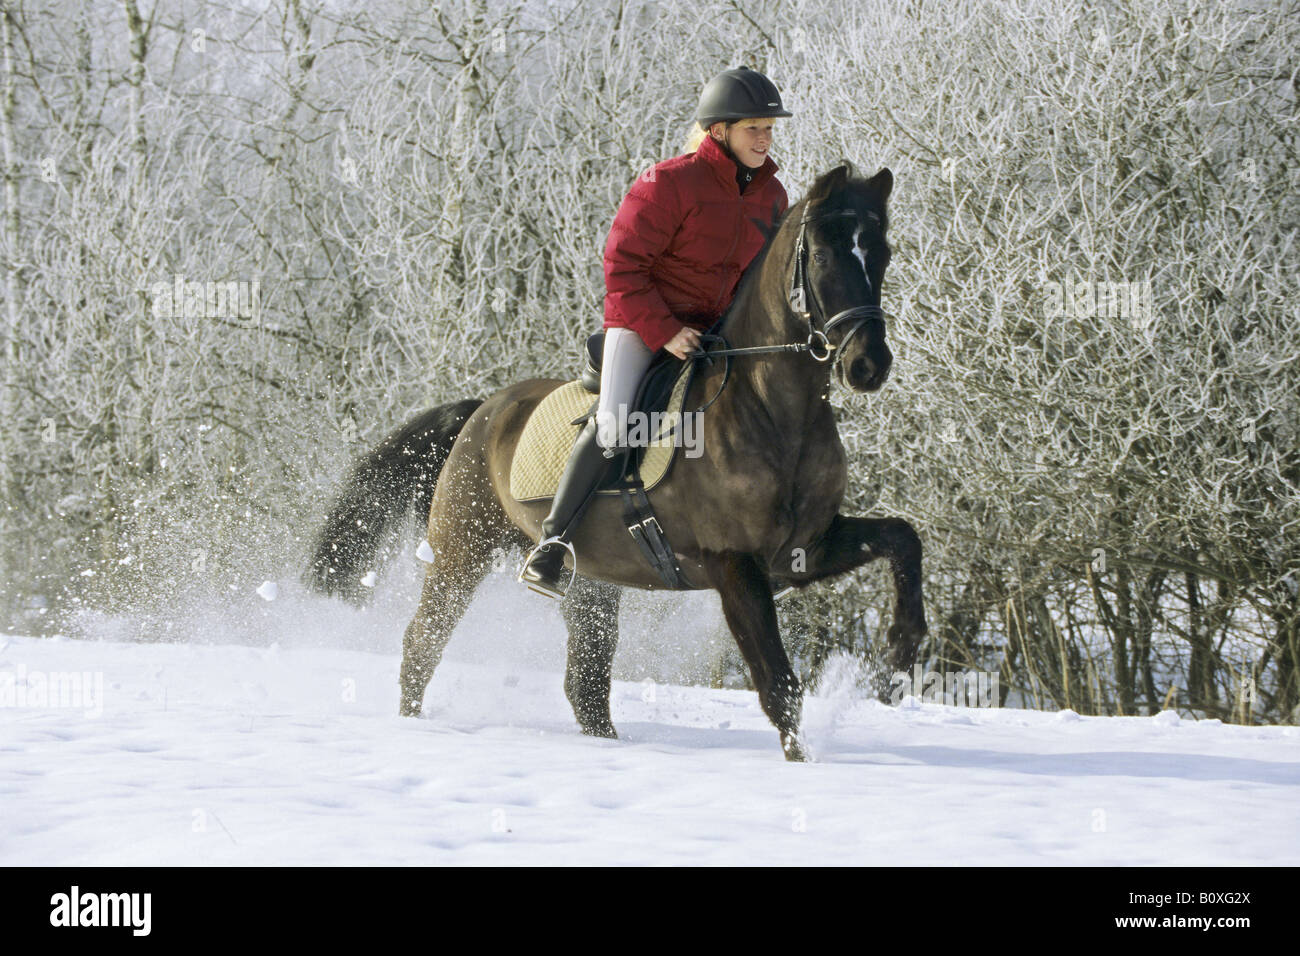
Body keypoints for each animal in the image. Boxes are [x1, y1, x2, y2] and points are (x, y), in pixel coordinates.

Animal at [305, 161, 927, 761]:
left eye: (884, 252)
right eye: (822, 255)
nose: (869, 365)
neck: (773, 413)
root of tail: (484, 408)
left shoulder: (802, 551)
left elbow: (903, 538)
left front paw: (899, 656)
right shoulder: (734, 562)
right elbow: (778, 683)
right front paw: (806, 763)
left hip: (592, 583)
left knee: (584, 683)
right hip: (462, 552)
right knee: (423, 643)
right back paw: (415, 729)